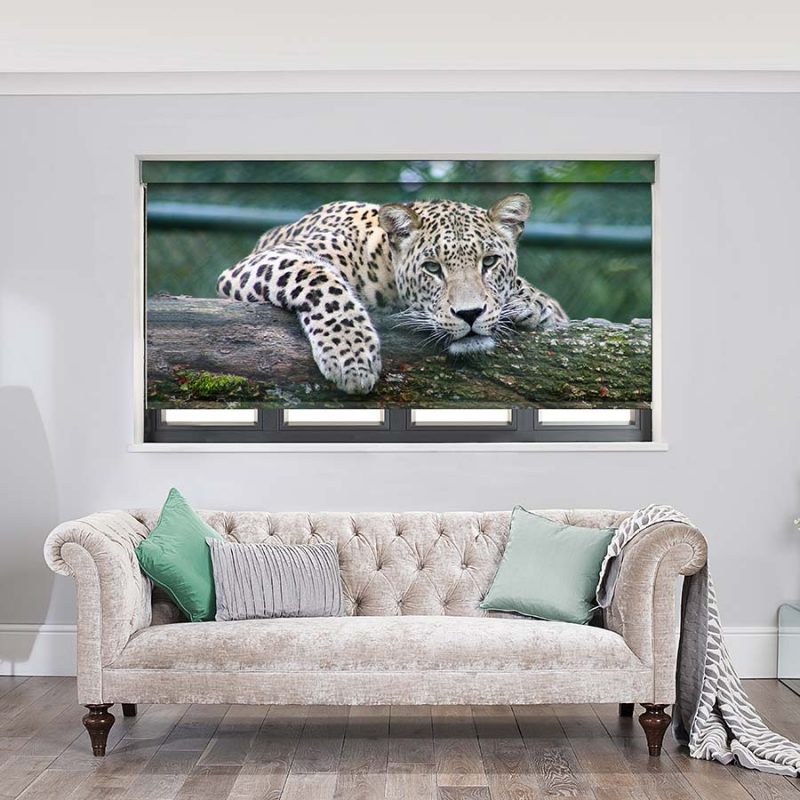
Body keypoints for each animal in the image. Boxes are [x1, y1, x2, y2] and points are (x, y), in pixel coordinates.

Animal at [217, 192, 567, 394]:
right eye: (432, 268)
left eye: (490, 262)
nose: (469, 314)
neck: (383, 264)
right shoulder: (261, 261)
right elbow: (318, 278)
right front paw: (352, 356)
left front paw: (533, 304)